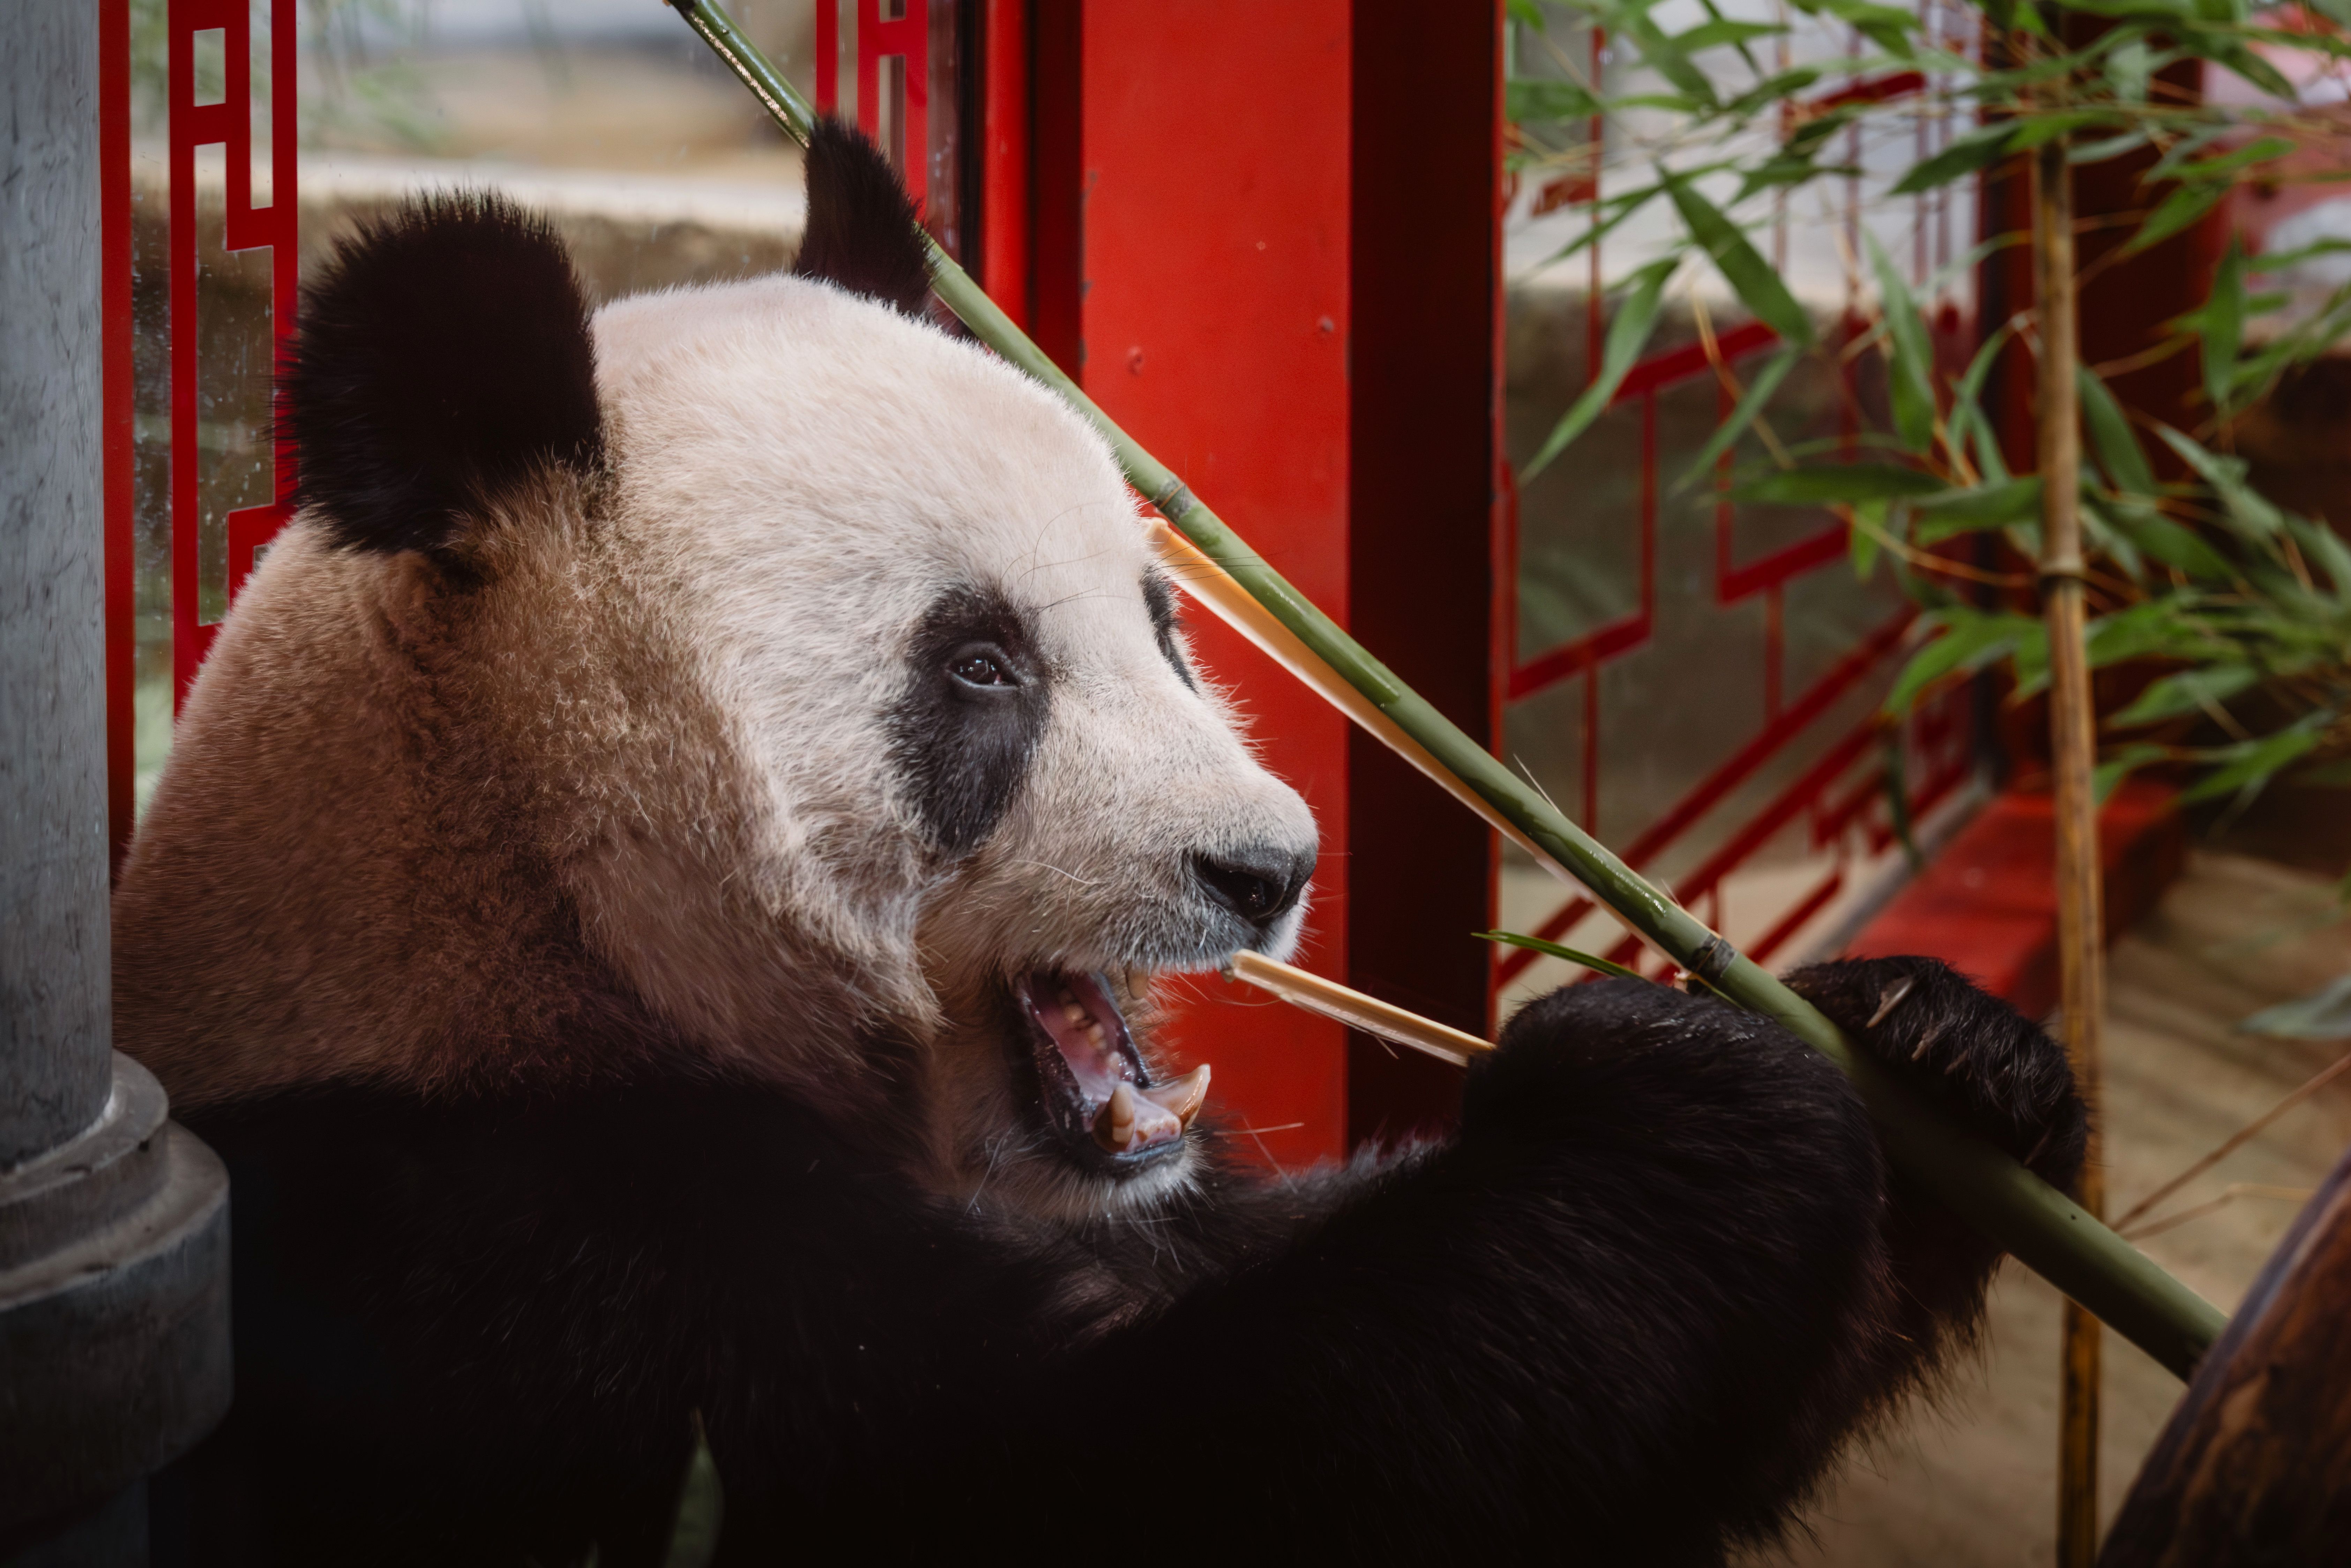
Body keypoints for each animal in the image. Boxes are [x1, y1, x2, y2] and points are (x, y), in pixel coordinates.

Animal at [116, 122, 2085, 1567]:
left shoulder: (1140, 1199)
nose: (1269, 868)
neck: (518, 924)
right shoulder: (506, 1260)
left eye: (1162, 619)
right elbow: (1127, 1467)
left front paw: (1933, 1049)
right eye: (981, 668)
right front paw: (1676, 1099)